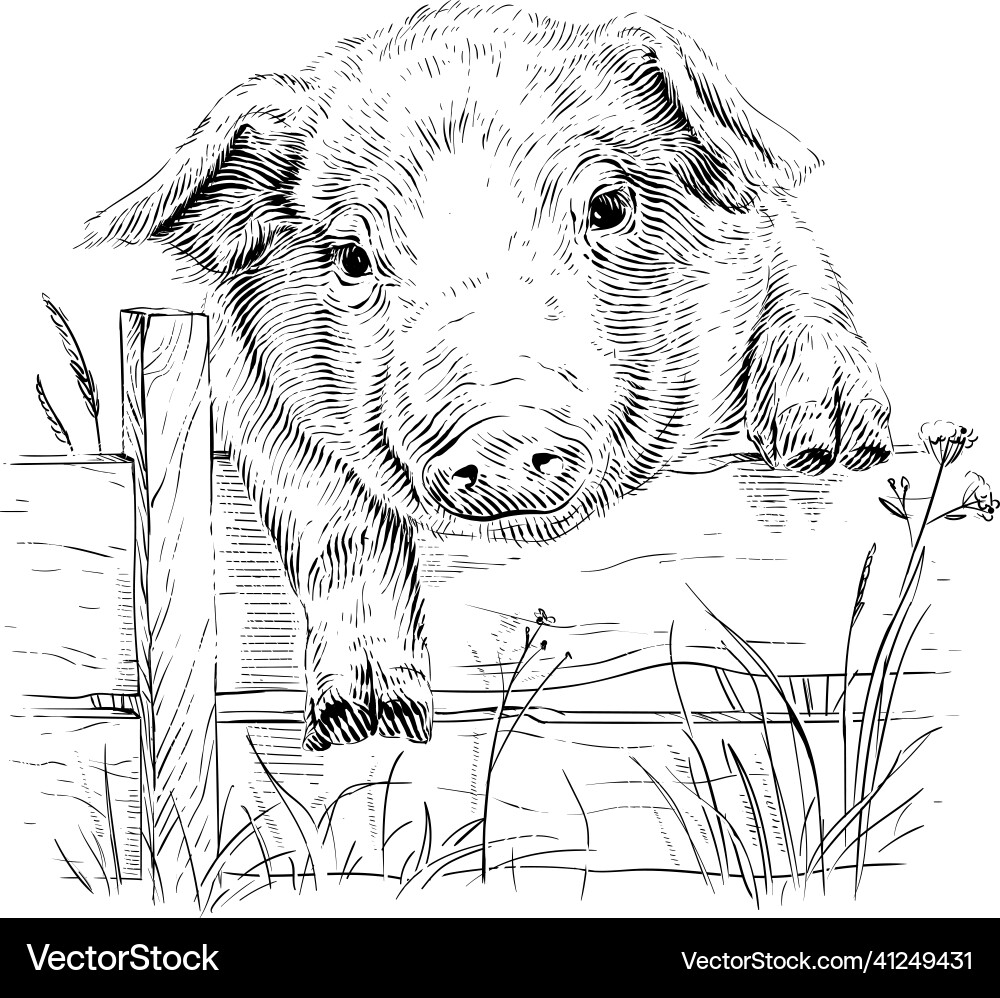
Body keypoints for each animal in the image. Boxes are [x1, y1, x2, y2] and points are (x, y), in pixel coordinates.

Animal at [85, 4, 892, 750]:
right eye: (351, 256)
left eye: (609, 206)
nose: (497, 433)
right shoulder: (255, 404)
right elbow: (334, 523)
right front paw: (371, 722)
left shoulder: (780, 244)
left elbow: (807, 292)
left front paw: (832, 444)